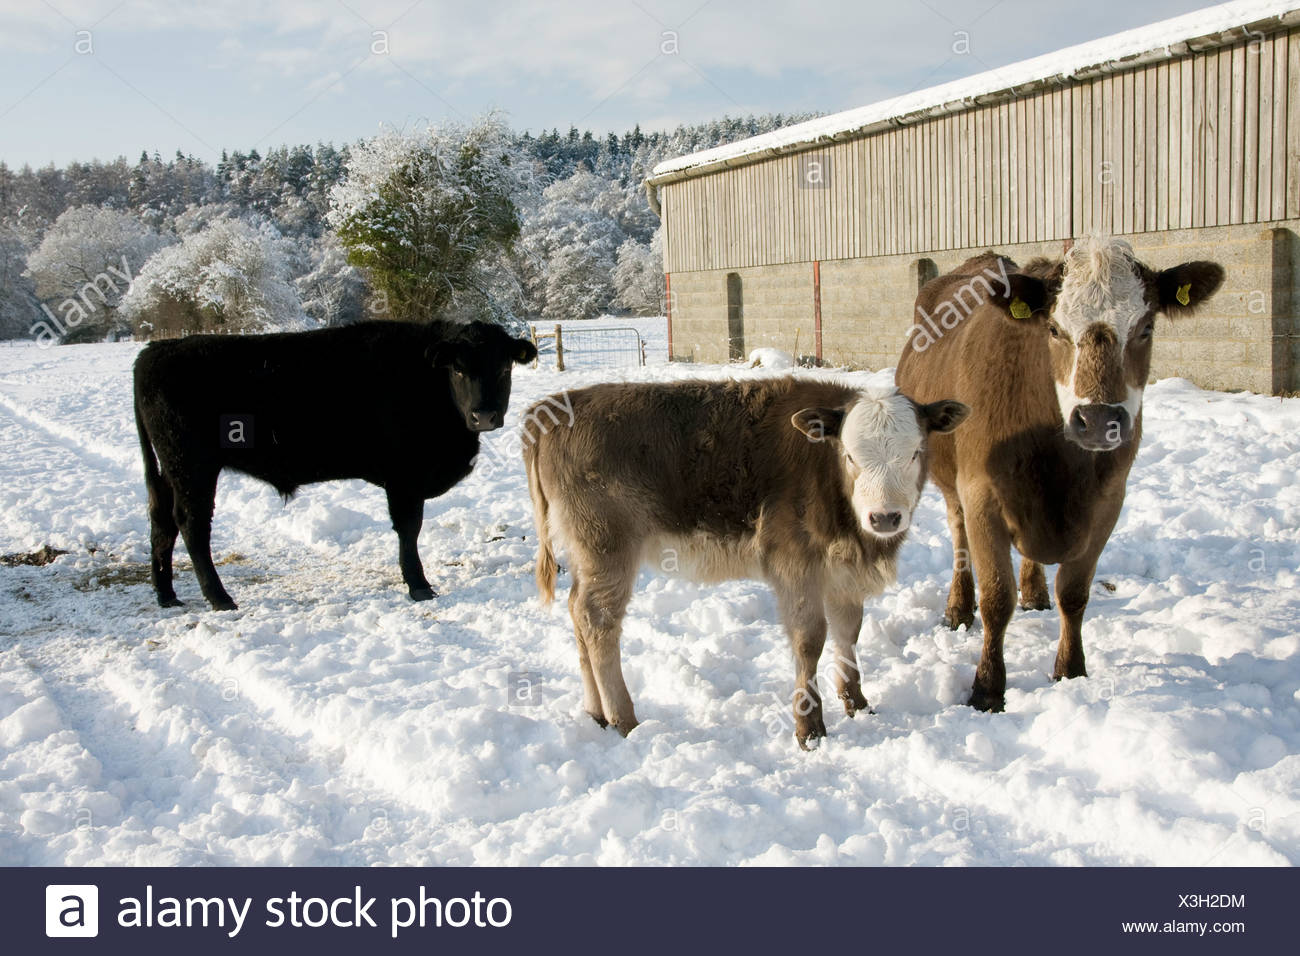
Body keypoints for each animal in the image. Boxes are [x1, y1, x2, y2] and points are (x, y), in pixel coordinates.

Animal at [133, 319, 537, 611]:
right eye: (458, 370)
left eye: (504, 368)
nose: (484, 415)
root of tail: (156, 350)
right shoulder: (404, 480)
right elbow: (409, 530)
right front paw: (419, 586)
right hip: (192, 468)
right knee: (191, 525)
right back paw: (219, 598)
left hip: (169, 471)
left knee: (161, 521)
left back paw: (167, 595)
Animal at [523, 377, 969, 748]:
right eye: (850, 455)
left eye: (915, 452)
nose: (885, 517)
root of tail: (551, 410)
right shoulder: (796, 568)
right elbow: (810, 641)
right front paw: (810, 728)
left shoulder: (843, 574)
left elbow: (848, 634)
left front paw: (856, 702)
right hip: (608, 550)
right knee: (598, 621)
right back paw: (624, 719)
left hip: (588, 557)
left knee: (577, 612)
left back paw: (596, 713)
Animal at [895, 236, 1224, 711]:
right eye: (1053, 329)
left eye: (1146, 328)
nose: (1100, 420)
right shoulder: (980, 493)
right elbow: (996, 597)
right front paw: (987, 686)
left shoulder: (1109, 501)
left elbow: (1074, 592)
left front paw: (1070, 669)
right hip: (950, 481)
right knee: (959, 539)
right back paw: (958, 607)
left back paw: (1034, 592)